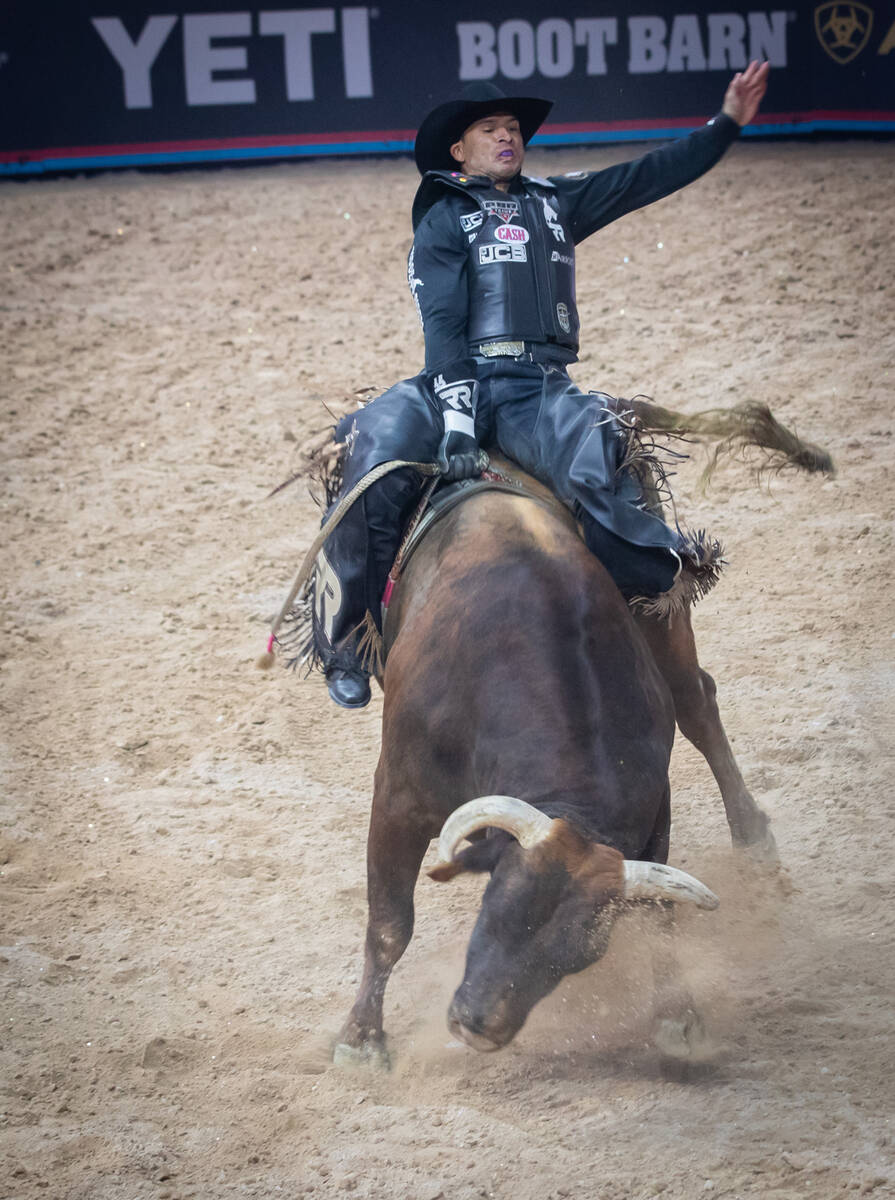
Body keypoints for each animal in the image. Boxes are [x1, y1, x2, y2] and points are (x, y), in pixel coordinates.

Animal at [330, 462, 772, 1067]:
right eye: (495, 908)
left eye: (575, 956)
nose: (478, 1026)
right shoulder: (399, 798)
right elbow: (391, 924)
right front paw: (361, 1040)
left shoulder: (653, 809)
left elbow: (658, 915)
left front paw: (678, 1016)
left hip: (665, 615)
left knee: (697, 702)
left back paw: (753, 836)